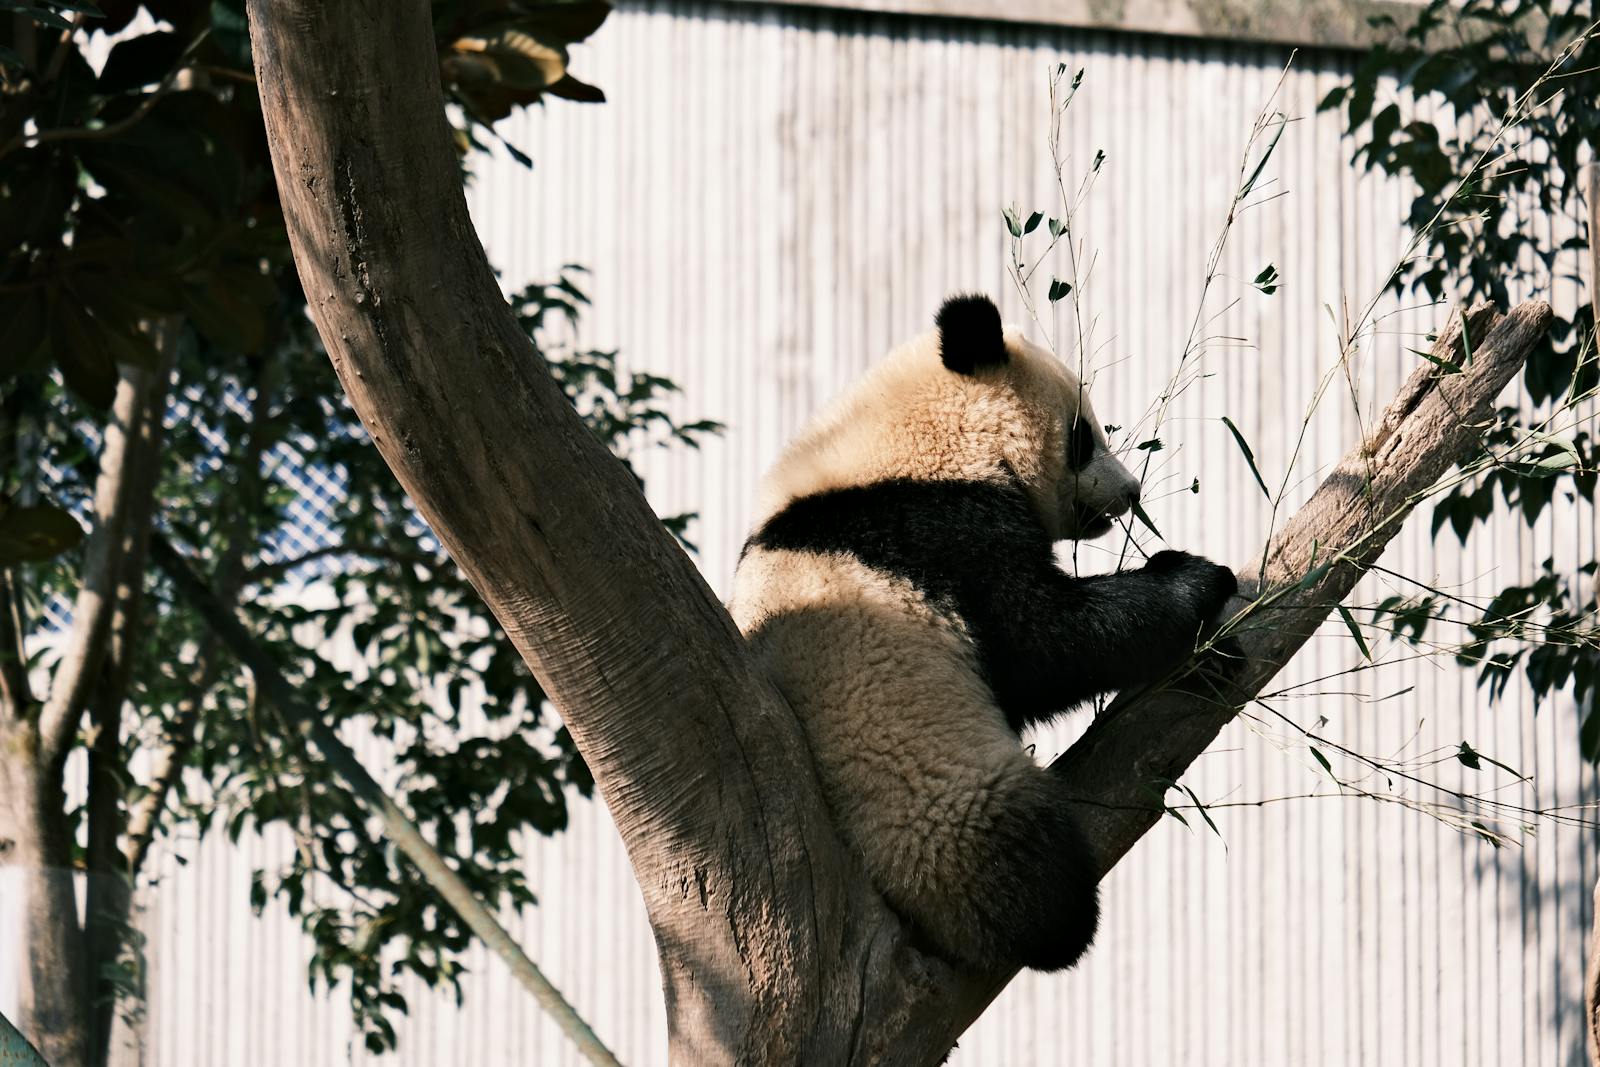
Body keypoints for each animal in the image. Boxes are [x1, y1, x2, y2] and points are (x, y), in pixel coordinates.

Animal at [729, 293, 1238, 973]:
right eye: (1083, 436)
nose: (1131, 491)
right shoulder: (939, 530)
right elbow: (1043, 640)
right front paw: (1193, 579)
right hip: (934, 798)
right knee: (1015, 857)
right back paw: (1056, 923)